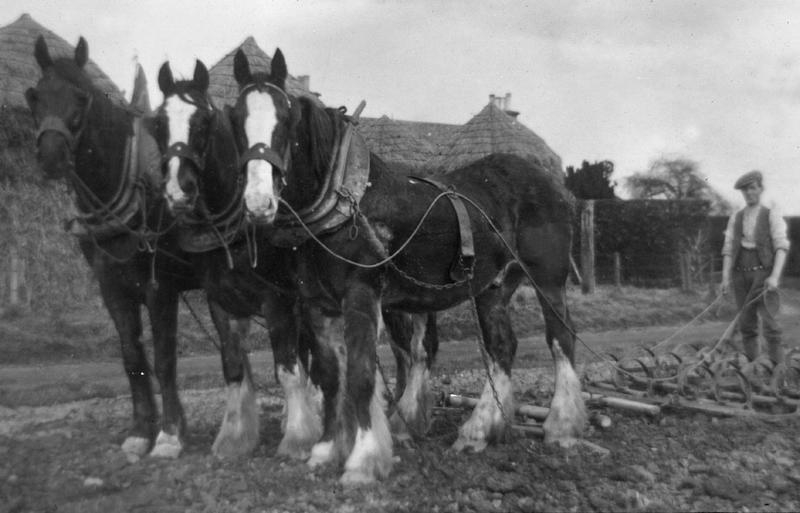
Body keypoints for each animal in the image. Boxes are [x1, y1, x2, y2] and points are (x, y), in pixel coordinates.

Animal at [24, 36, 219, 460]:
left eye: (82, 97)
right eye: (35, 97)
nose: (52, 156)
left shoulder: (160, 287)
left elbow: (163, 359)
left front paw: (170, 434)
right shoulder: (111, 288)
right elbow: (133, 358)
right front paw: (141, 431)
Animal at [148, 57, 439, 459]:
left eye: (204, 123)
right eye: (157, 124)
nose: (179, 192)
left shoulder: (279, 301)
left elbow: (289, 369)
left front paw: (299, 435)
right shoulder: (220, 301)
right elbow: (235, 368)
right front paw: (234, 437)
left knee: (412, 353)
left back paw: (405, 419)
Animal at [237, 48, 586, 484]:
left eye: (285, 121)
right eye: (234, 120)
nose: (258, 201)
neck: (344, 203)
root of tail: (549, 182)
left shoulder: (361, 295)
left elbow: (361, 376)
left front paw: (362, 461)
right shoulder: (319, 306)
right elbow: (332, 378)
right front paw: (326, 449)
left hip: (547, 279)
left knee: (561, 339)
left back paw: (561, 427)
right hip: (493, 287)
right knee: (501, 348)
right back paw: (478, 431)